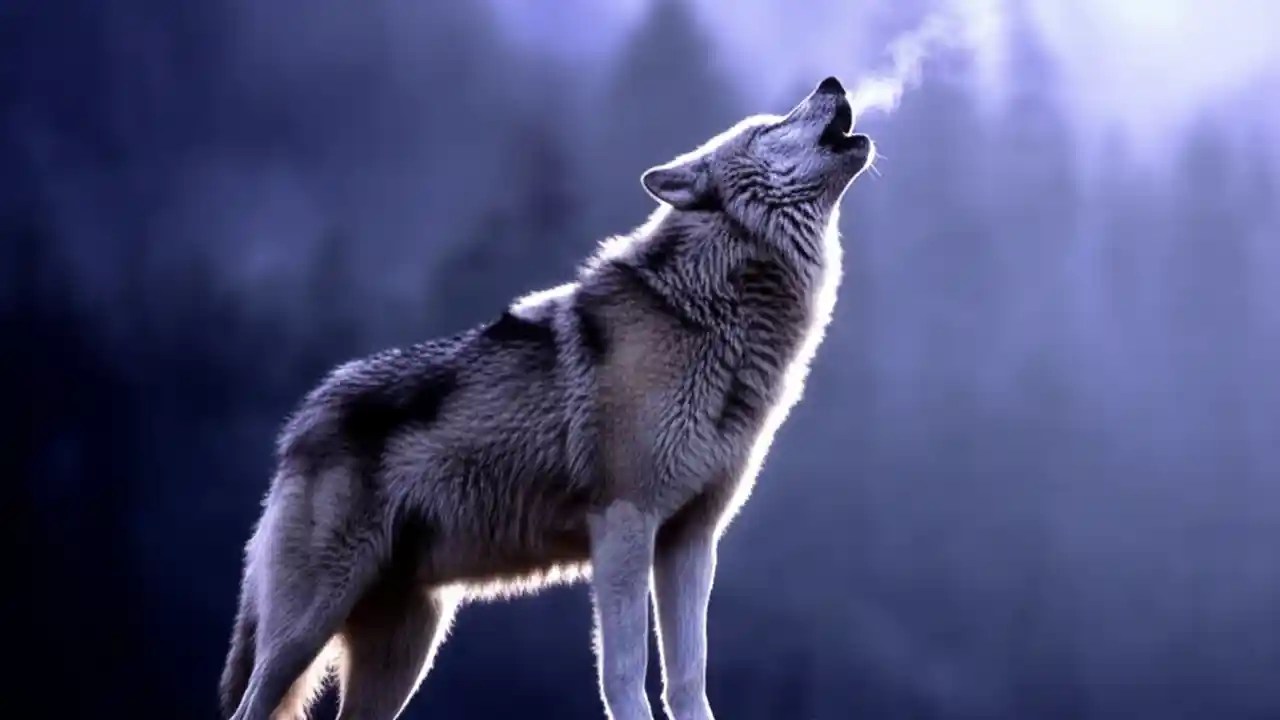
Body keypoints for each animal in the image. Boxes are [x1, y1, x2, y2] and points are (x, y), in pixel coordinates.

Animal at [219, 75, 874, 720]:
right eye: (770, 127)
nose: (833, 81)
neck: (707, 313)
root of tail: (300, 421)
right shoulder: (625, 524)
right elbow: (626, 673)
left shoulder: (690, 541)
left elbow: (689, 680)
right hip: (305, 631)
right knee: (249, 704)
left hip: (402, 657)